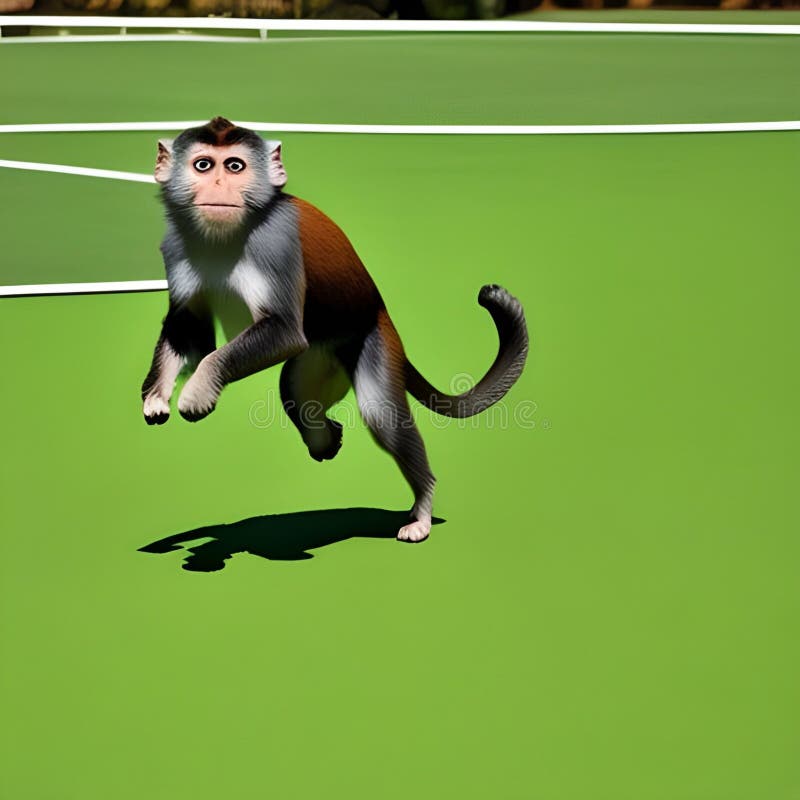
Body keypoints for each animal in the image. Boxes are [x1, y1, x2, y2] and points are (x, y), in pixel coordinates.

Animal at [142, 117, 528, 543]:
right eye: (203, 165)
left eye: (235, 167)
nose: (218, 186)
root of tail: (380, 310)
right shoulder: (175, 249)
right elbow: (186, 327)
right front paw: (157, 395)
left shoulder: (275, 245)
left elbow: (284, 332)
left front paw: (196, 392)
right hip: (320, 356)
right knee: (295, 393)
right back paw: (327, 435)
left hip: (370, 339)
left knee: (380, 414)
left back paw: (421, 508)